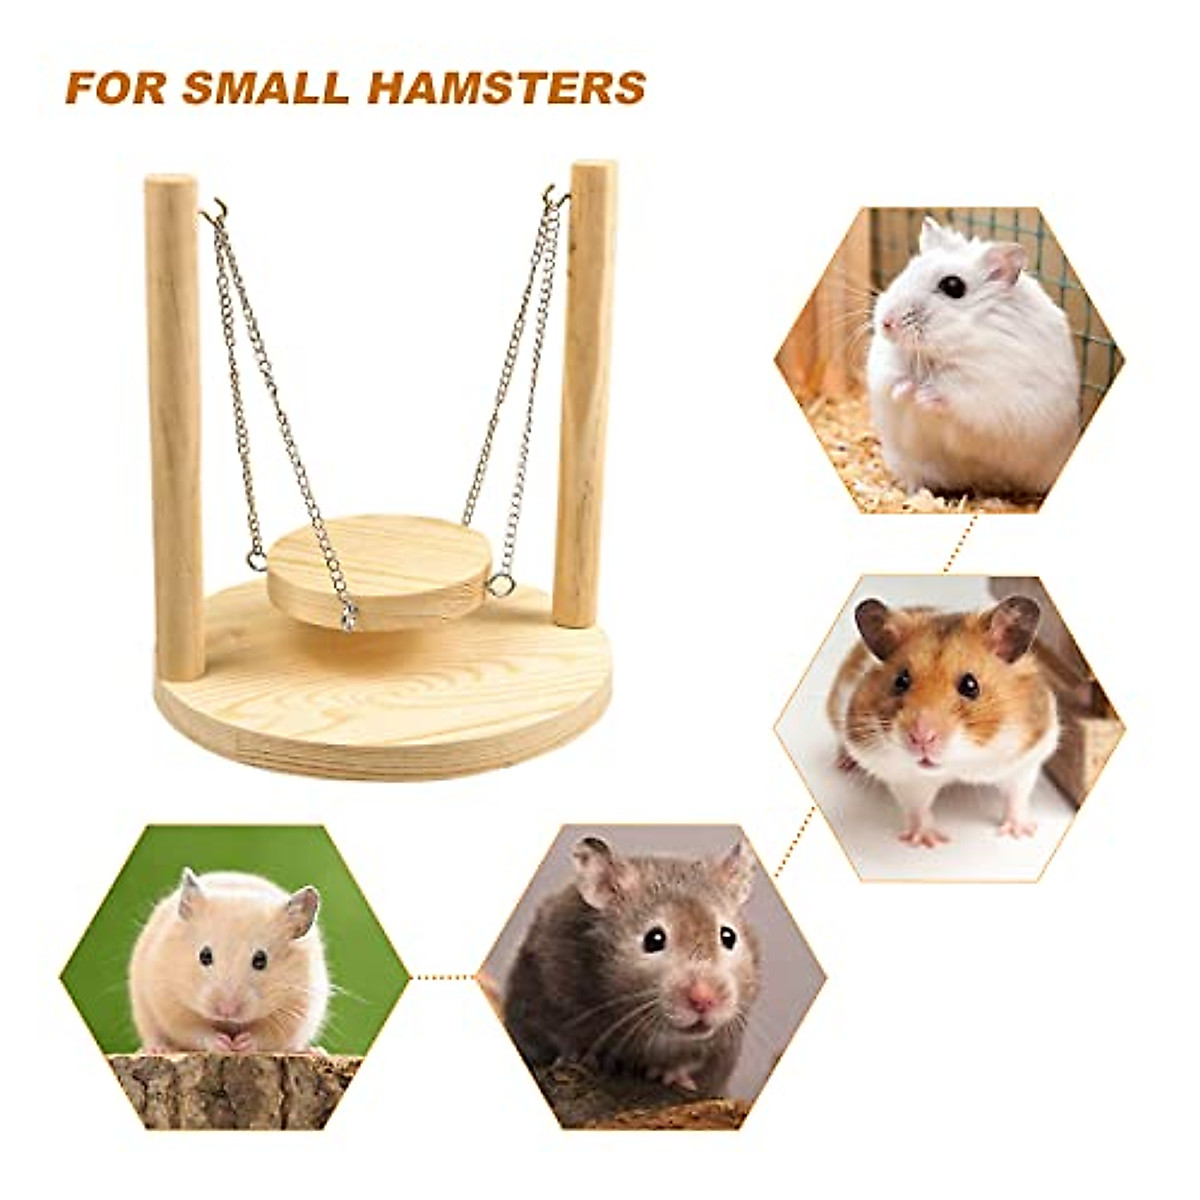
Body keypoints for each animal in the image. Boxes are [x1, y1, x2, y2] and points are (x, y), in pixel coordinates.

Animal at [129, 869, 329, 1053]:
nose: (226, 1011)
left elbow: (267, 1036)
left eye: (261, 960)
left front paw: (241, 1044)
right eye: (204, 955)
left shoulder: (296, 1010)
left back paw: (313, 1051)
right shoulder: (169, 1003)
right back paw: (157, 1049)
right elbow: (194, 1031)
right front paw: (223, 1044)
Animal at [503, 837, 760, 1094]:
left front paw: (672, 1077)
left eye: (728, 936)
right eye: (654, 939)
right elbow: (562, 1037)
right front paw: (583, 1058)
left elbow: (690, 1061)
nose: (704, 1001)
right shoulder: (548, 992)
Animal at [828, 595, 1058, 847]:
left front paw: (1020, 833)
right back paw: (844, 764)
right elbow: (918, 808)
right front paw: (928, 842)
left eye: (970, 685)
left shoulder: (1024, 761)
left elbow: (1016, 797)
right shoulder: (906, 778)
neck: (960, 762)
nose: (921, 738)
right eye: (901, 681)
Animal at [866, 217, 1080, 496]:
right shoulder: (884, 370)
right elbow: (893, 382)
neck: (939, 353)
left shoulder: (985, 389)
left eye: (953, 286)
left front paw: (923, 396)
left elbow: (956, 395)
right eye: (907, 271)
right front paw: (907, 390)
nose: (886, 323)